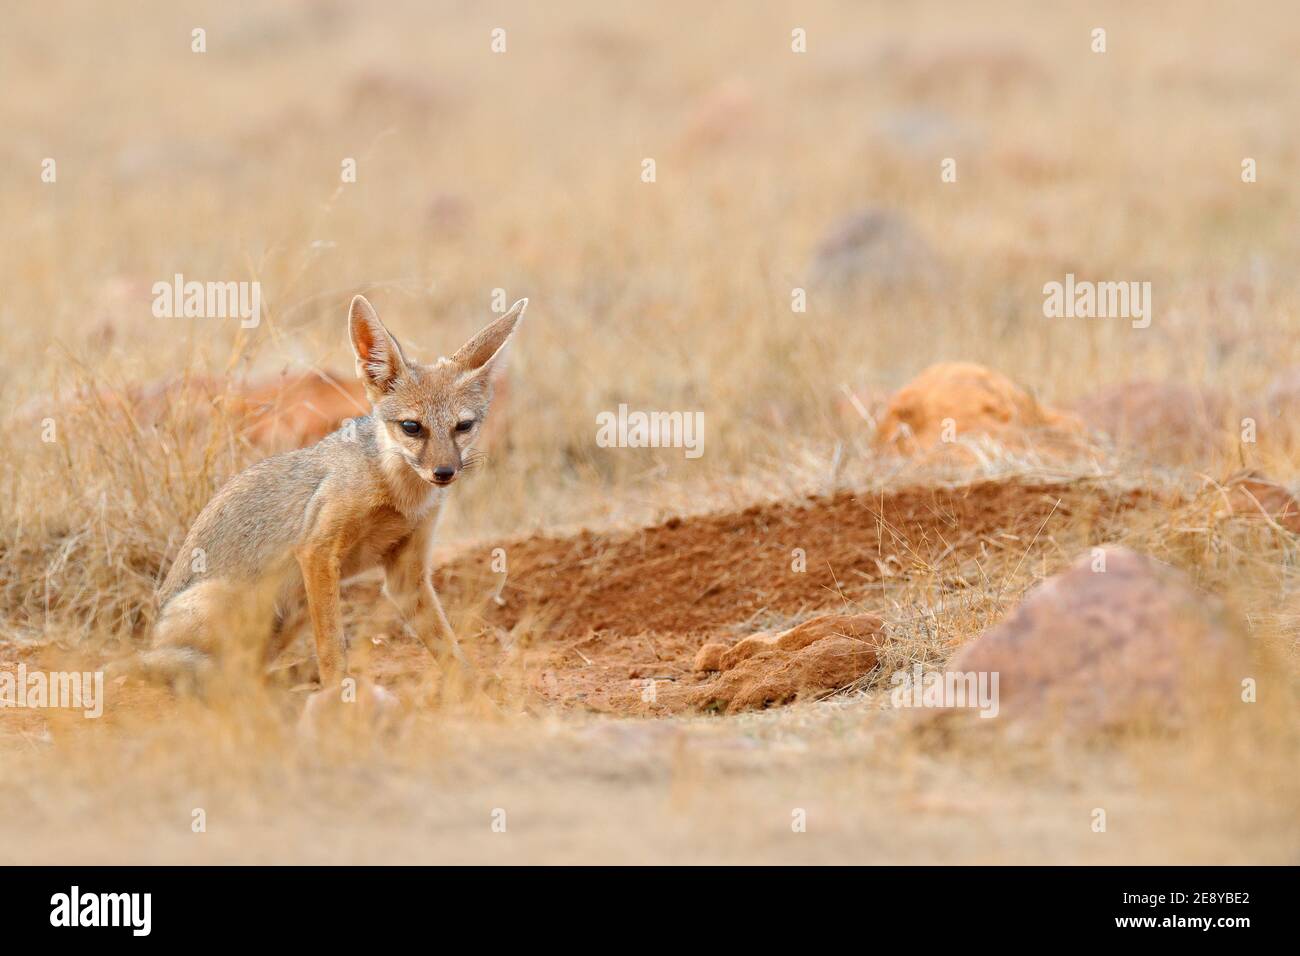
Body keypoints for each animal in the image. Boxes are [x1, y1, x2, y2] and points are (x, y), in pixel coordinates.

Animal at [142, 294, 527, 692]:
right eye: (412, 427)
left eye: (463, 426)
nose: (445, 473)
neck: (398, 493)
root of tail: (150, 642)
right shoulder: (317, 552)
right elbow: (332, 646)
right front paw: (338, 695)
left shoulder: (406, 578)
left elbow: (448, 645)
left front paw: (474, 691)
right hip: (237, 602)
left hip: (290, 610)